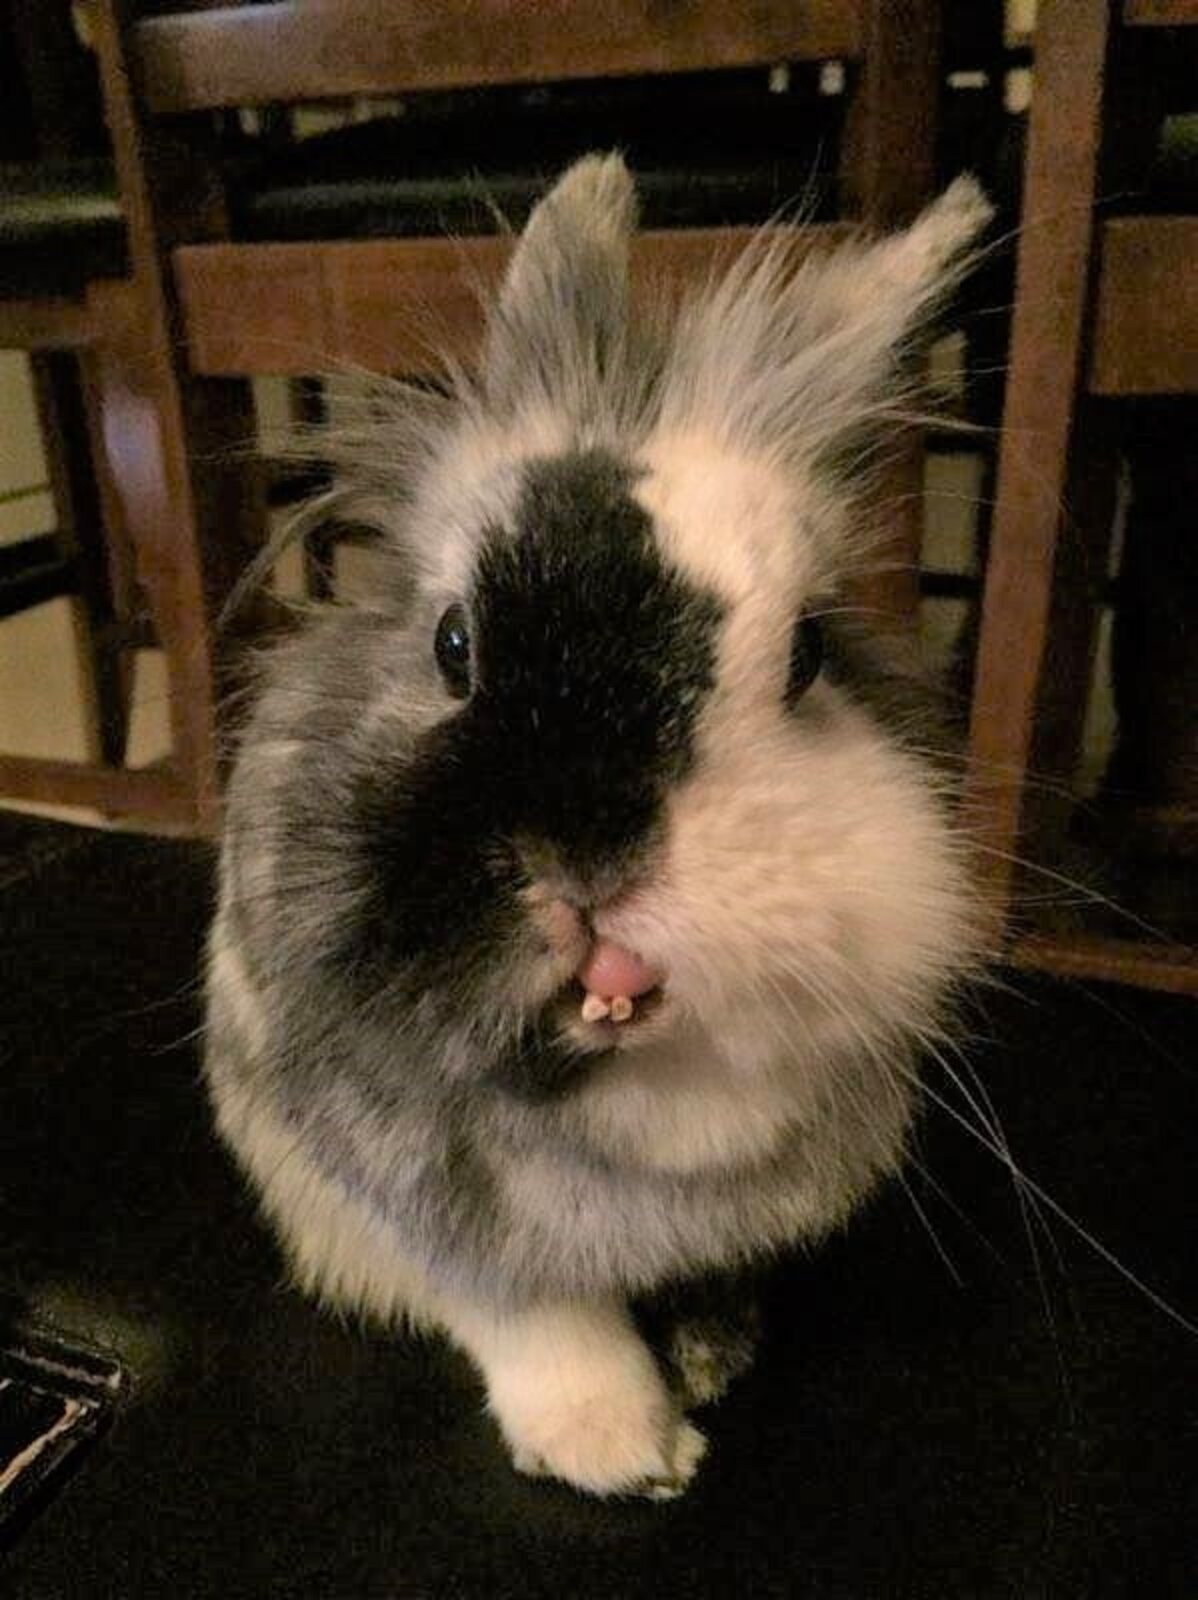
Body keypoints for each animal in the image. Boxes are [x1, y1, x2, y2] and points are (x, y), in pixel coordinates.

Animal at [205, 153, 993, 1500]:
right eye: (453, 644)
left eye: (807, 653)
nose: (586, 872)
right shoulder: (433, 1199)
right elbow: (531, 1312)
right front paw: (625, 1450)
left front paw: (708, 1358)